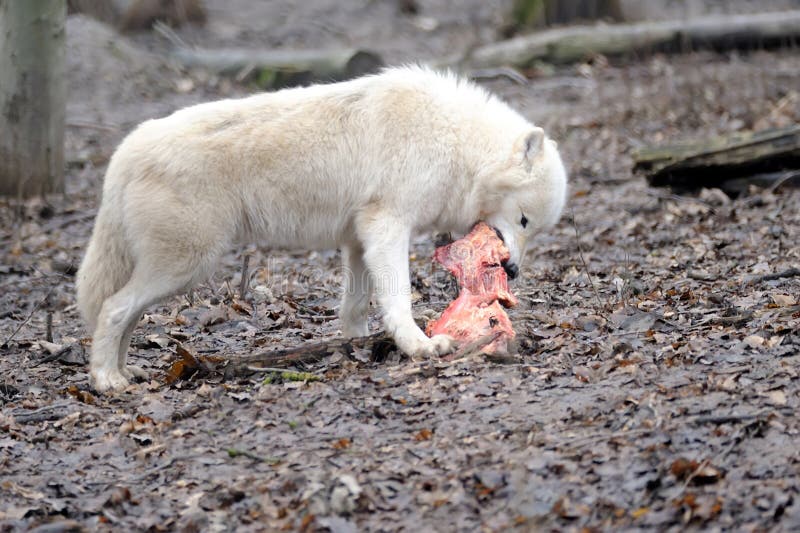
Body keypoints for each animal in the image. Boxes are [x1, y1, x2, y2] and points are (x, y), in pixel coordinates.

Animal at [76, 65, 567, 392]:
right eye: (523, 220)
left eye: (535, 230)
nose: (513, 269)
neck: (454, 140)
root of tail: (125, 152)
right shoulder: (388, 227)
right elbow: (398, 298)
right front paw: (419, 346)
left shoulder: (359, 237)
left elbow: (354, 307)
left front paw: (359, 346)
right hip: (187, 265)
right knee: (114, 309)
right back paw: (105, 380)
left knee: (122, 313)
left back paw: (124, 371)